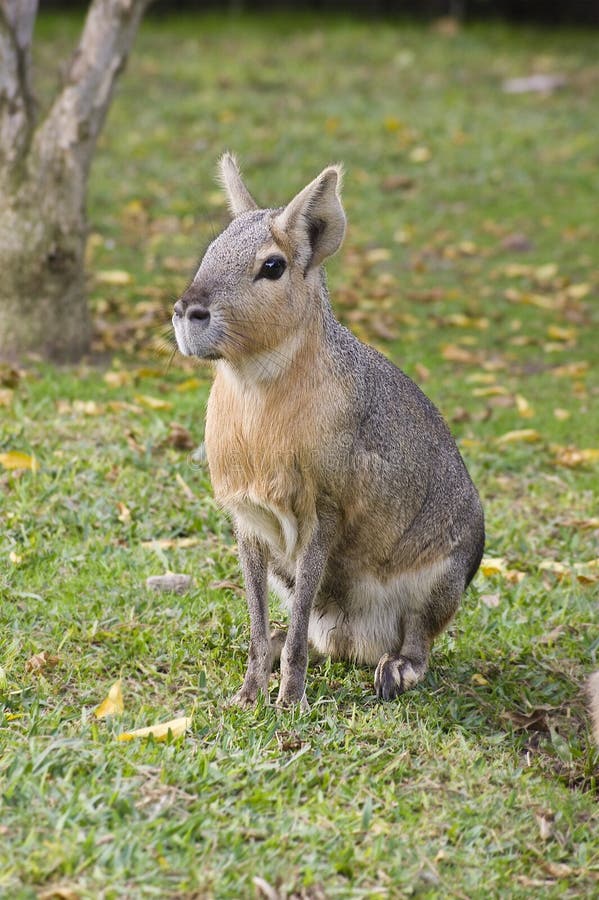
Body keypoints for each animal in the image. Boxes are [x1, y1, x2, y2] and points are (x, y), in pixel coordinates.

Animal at [172, 153, 485, 709]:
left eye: (272, 266)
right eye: (211, 250)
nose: (187, 310)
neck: (257, 402)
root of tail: (356, 638)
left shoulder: (325, 511)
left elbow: (300, 619)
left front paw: (289, 701)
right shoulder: (245, 518)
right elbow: (258, 621)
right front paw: (249, 694)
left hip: (441, 579)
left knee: (416, 642)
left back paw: (394, 669)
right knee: (309, 633)